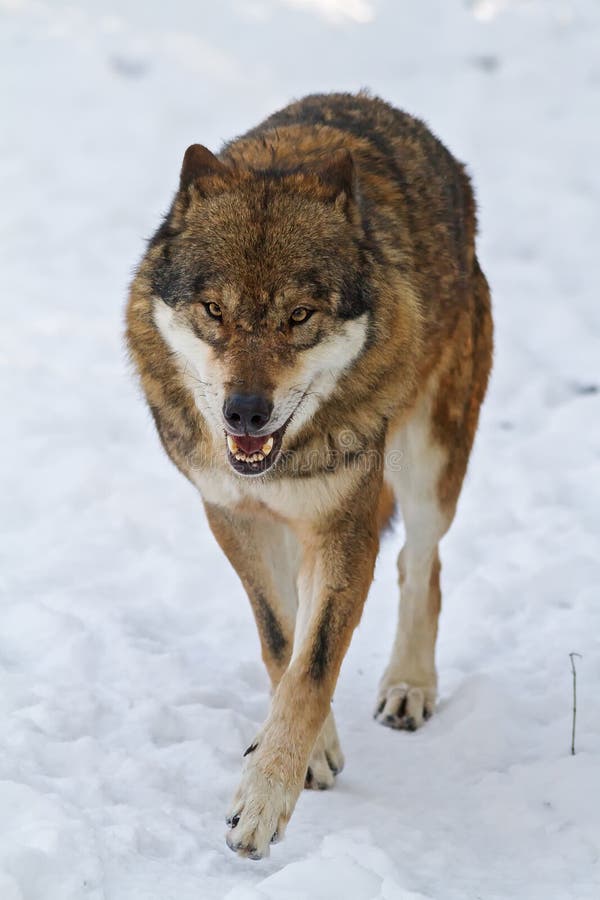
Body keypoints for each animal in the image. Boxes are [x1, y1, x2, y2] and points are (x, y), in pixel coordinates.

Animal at [126, 91, 493, 859]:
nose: (245, 411)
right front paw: (312, 755)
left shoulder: (345, 527)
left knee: (422, 562)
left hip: (428, 465)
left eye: (299, 316)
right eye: (214, 310)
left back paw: (409, 685)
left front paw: (264, 801)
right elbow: (283, 641)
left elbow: (314, 663)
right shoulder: (232, 515)